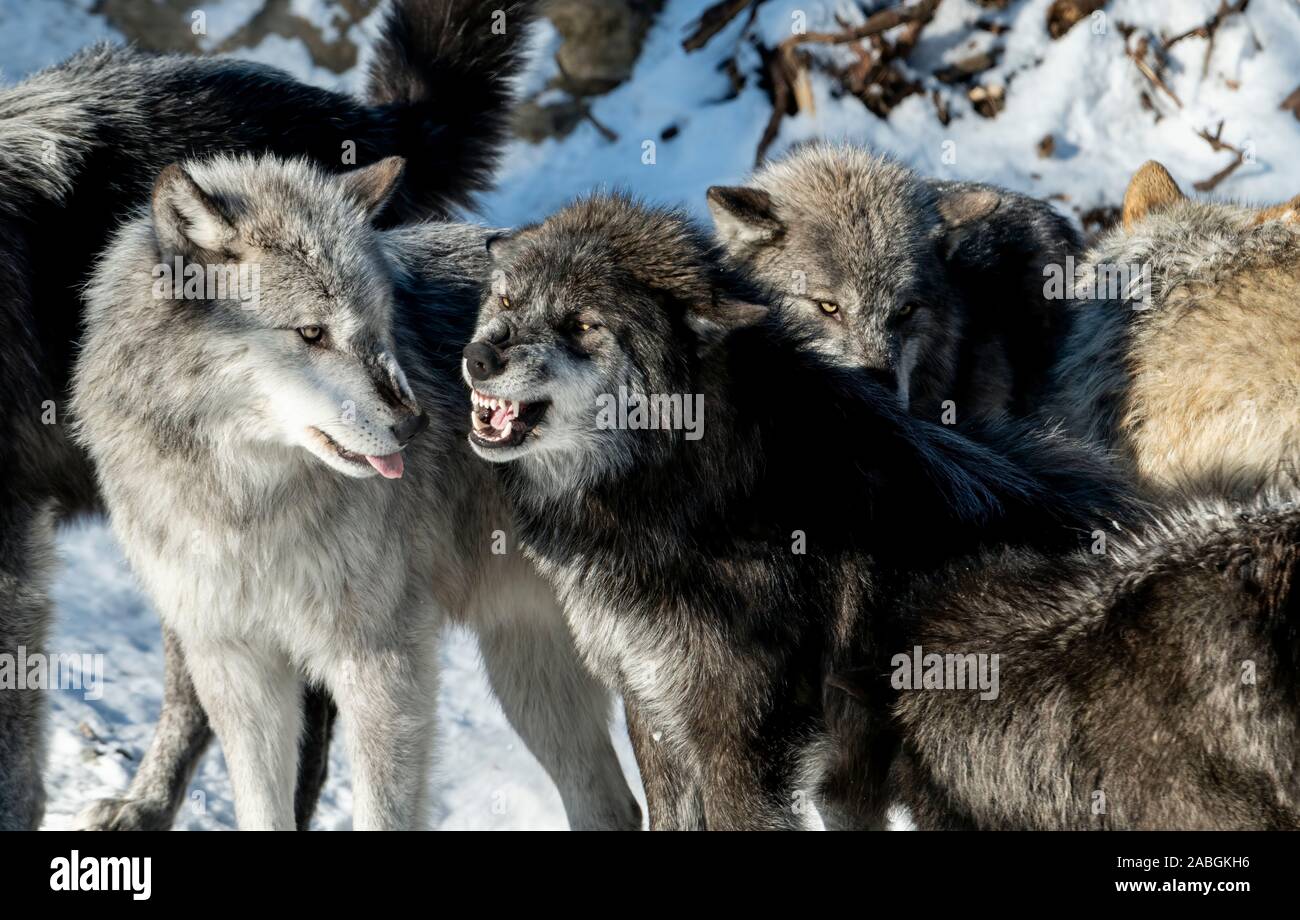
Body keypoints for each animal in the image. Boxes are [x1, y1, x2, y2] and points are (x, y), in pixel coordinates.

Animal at [71, 155, 640, 830]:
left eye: (377, 325)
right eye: (311, 333)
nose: (416, 425)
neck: (247, 502)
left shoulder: (382, 662)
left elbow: (380, 811)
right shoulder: (235, 663)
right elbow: (262, 808)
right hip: (528, 672)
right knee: (613, 806)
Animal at [457, 193, 1133, 829]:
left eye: (581, 324)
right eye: (508, 302)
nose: (478, 358)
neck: (694, 491)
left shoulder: (740, 745)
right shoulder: (653, 710)